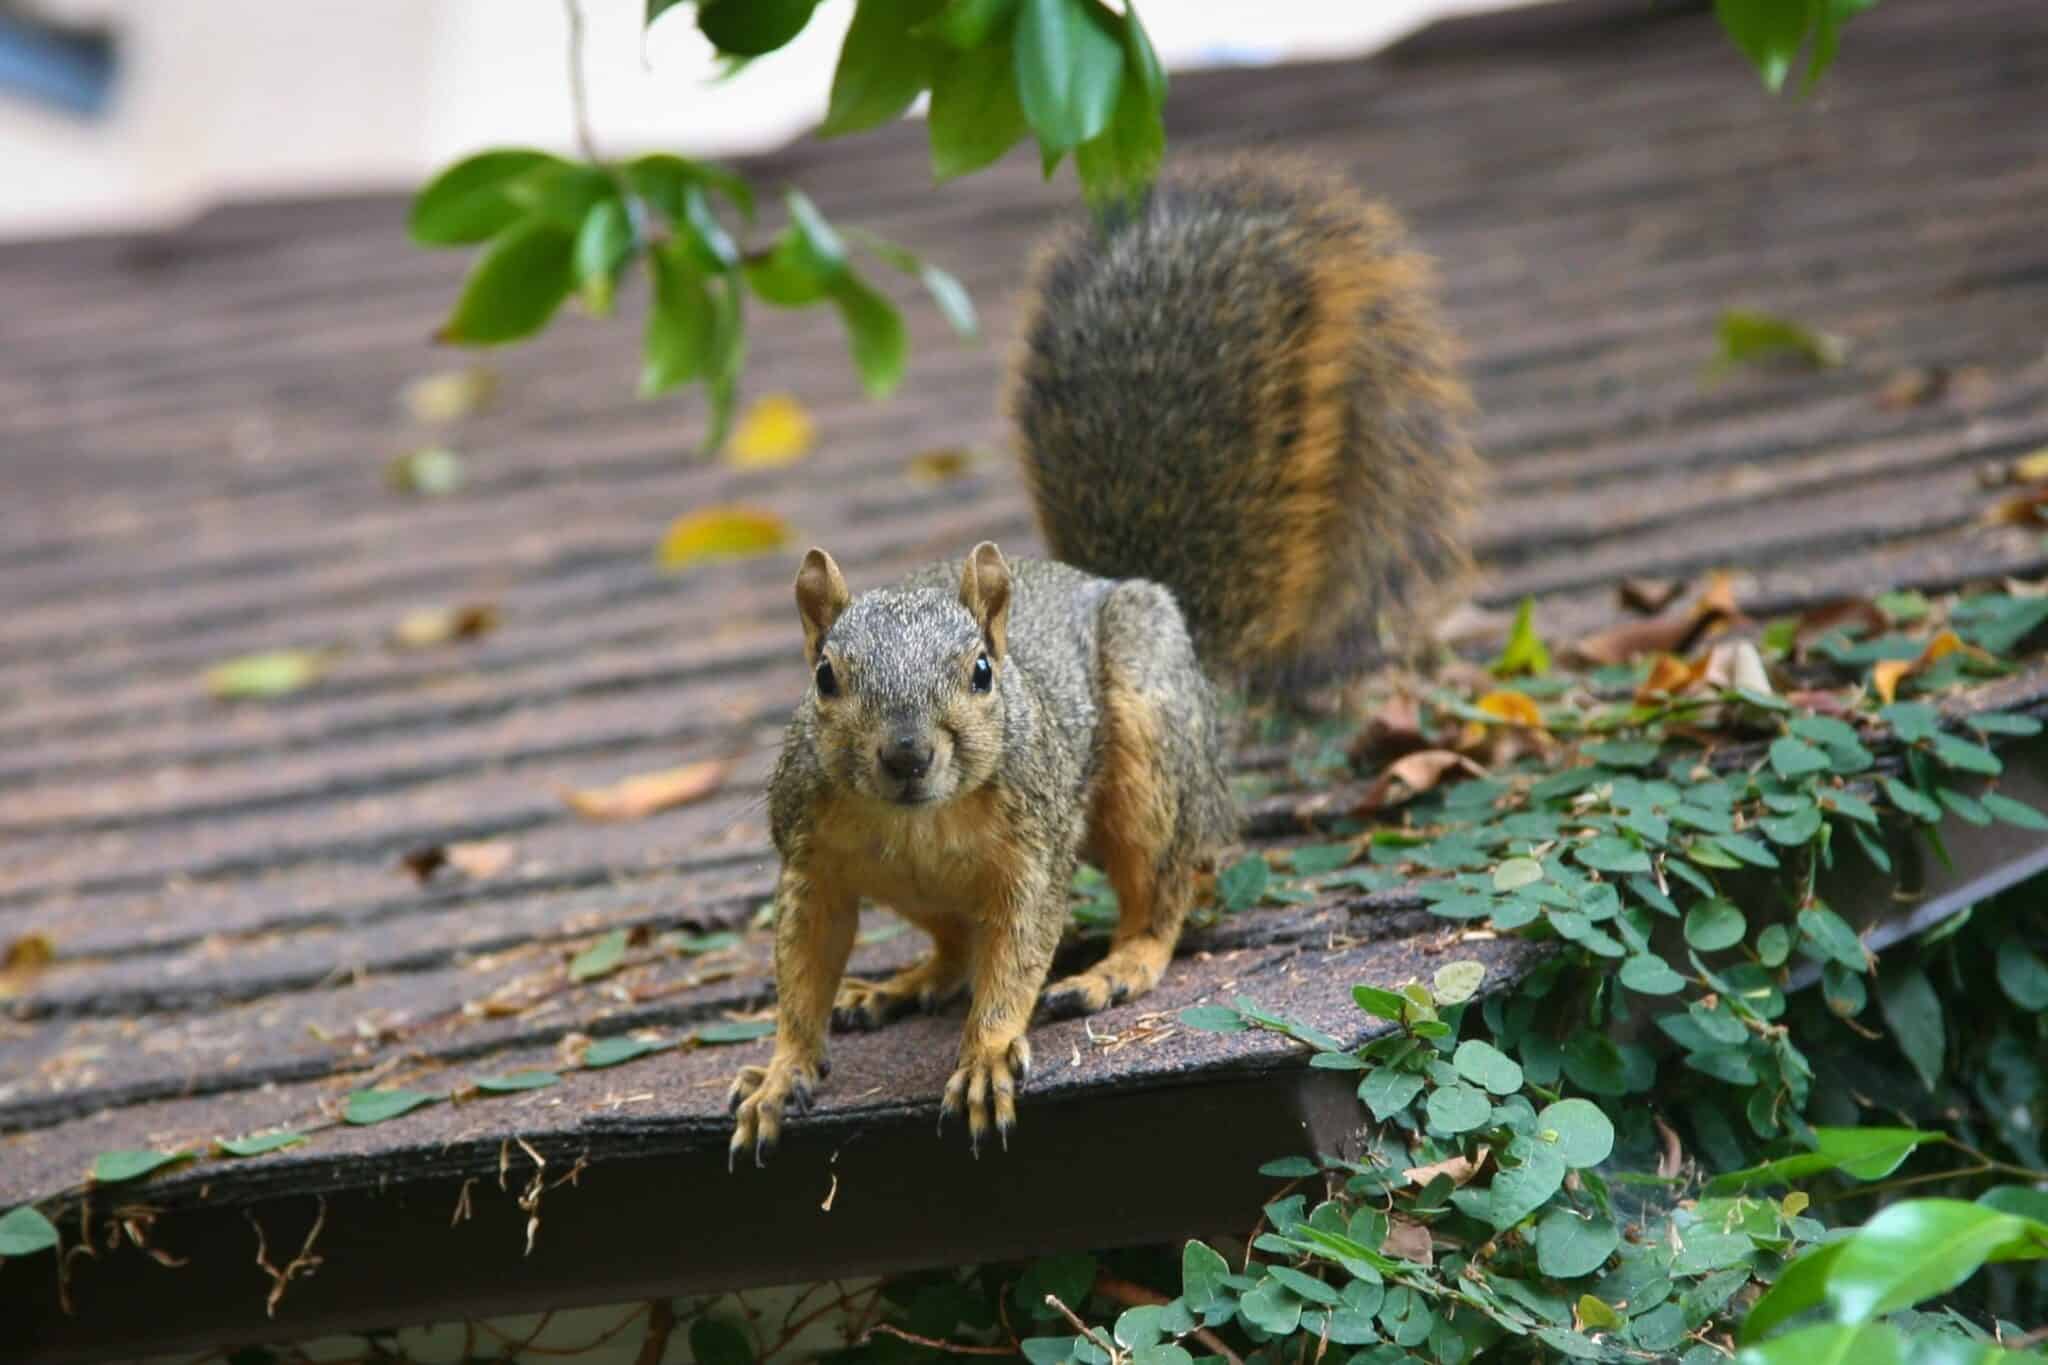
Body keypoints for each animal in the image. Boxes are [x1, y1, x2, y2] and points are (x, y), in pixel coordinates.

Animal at [727, 156, 1479, 1166]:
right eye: (824, 679)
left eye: (981, 671)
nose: (906, 754)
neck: (918, 820)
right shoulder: (811, 856)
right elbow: (803, 962)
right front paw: (781, 1071)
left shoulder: (1033, 851)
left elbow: (1017, 953)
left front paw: (988, 1054)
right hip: (923, 889)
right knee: (954, 944)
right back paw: (904, 981)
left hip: (1150, 751)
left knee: (1162, 892)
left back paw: (1117, 967)